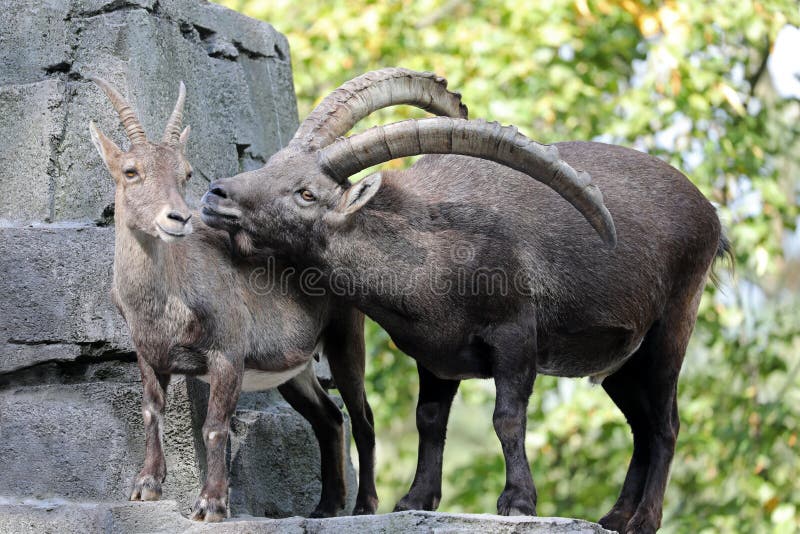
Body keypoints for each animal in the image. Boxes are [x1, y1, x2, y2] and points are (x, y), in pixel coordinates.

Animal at [88, 78, 387, 521]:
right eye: (131, 171)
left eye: (185, 173)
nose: (178, 218)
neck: (163, 304)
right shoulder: (149, 354)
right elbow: (151, 411)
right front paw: (146, 486)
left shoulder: (227, 354)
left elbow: (215, 427)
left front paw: (210, 504)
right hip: (293, 369)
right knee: (330, 418)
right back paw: (325, 506)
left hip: (345, 340)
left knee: (362, 417)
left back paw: (364, 505)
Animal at [201, 68, 730, 534]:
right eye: (271, 165)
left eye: (306, 193)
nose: (216, 194)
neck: (429, 249)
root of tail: (711, 216)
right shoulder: (435, 356)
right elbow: (429, 420)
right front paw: (415, 499)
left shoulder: (515, 337)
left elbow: (507, 418)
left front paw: (518, 502)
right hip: (622, 365)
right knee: (641, 426)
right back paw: (615, 517)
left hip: (670, 330)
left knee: (665, 426)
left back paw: (644, 520)